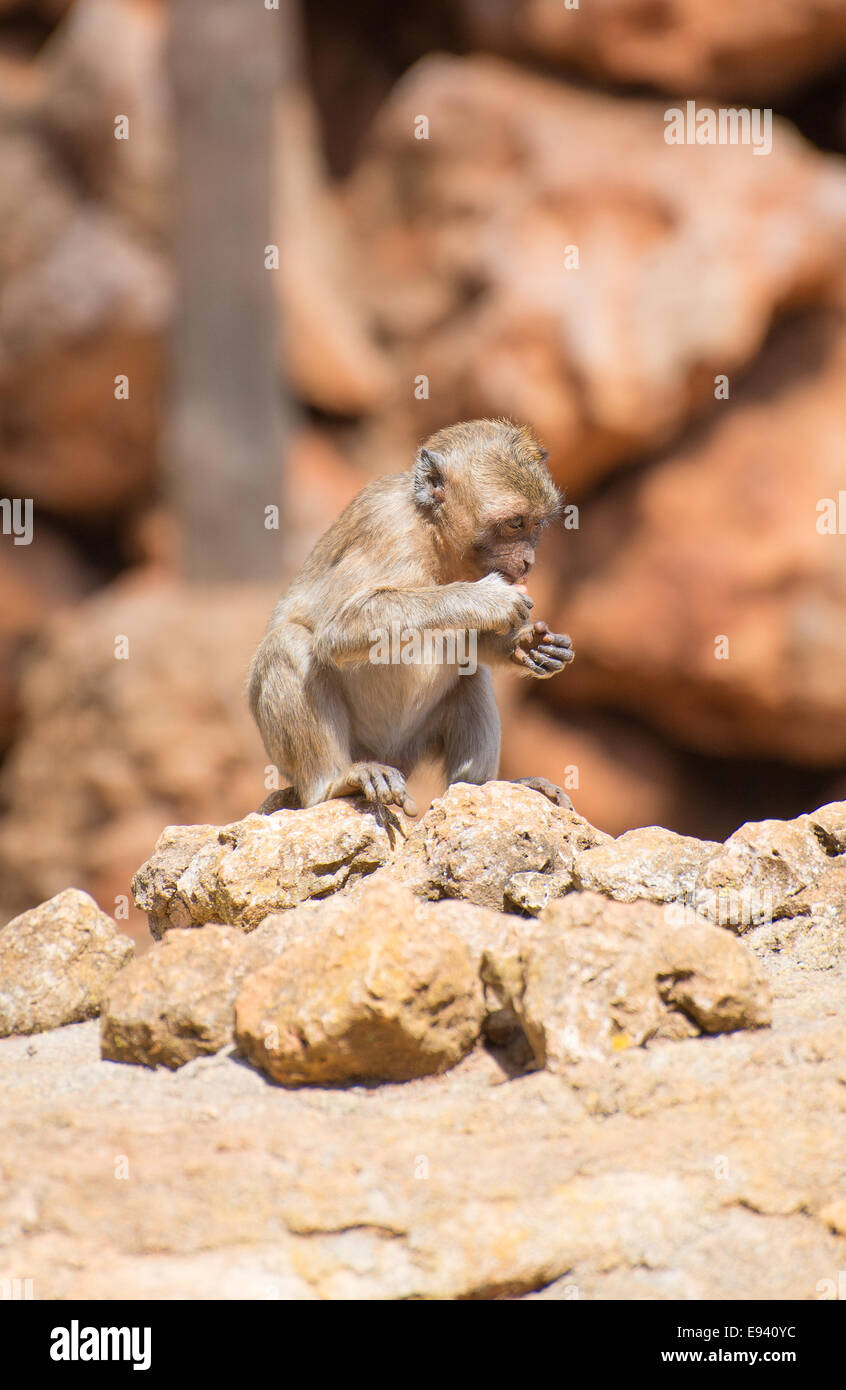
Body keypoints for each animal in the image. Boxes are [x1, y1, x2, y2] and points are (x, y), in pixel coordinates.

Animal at [248, 418, 574, 824]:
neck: (432, 534)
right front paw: (488, 599)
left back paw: (481, 786)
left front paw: (526, 644)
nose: (529, 561)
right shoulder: (387, 527)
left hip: (414, 743)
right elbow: (339, 629)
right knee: (288, 642)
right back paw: (334, 782)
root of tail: (388, 755)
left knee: (471, 675)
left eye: (537, 525)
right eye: (515, 523)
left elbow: (471, 643)